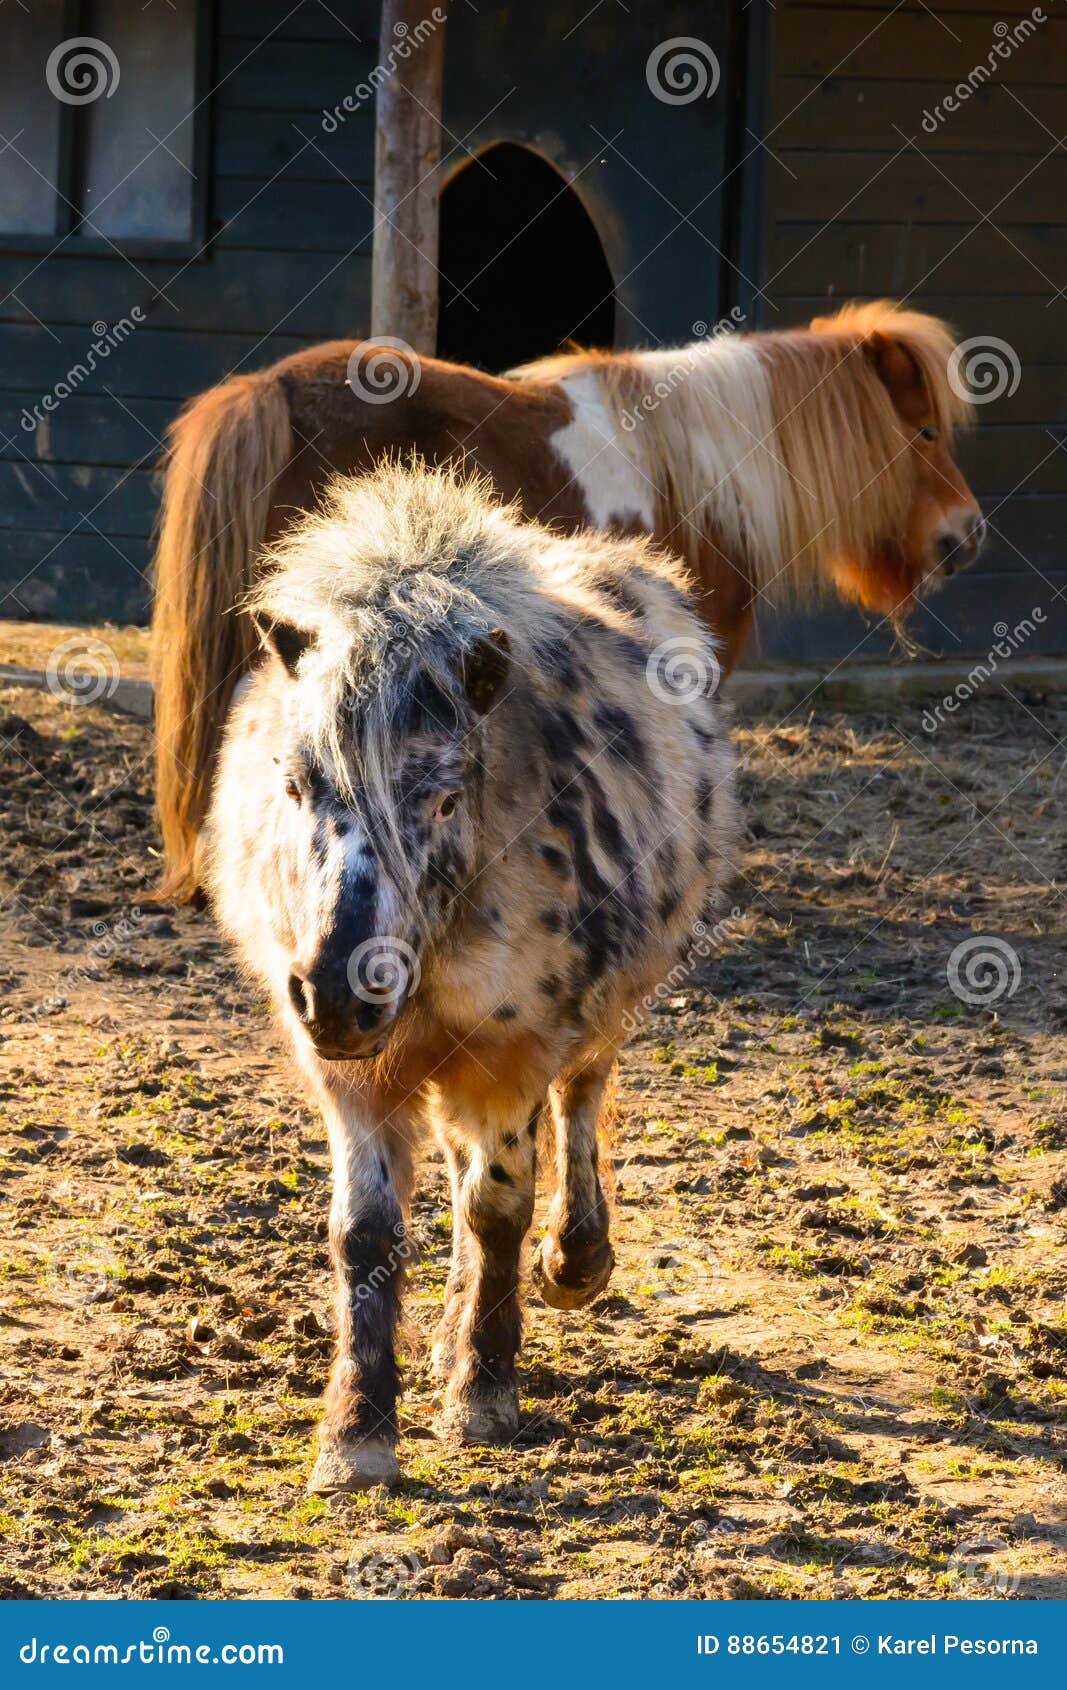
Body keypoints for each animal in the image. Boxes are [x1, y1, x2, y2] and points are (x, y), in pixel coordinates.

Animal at [203, 462, 737, 1492]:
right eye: (295, 785)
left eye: (445, 797)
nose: (340, 991)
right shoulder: (356, 1076)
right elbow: (366, 1235)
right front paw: (357, 1435)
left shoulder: (511, 1045)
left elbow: (497, 1209)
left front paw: (483, 1395)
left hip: (595, 1015)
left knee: (580, 1101)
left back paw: (572, 1263)